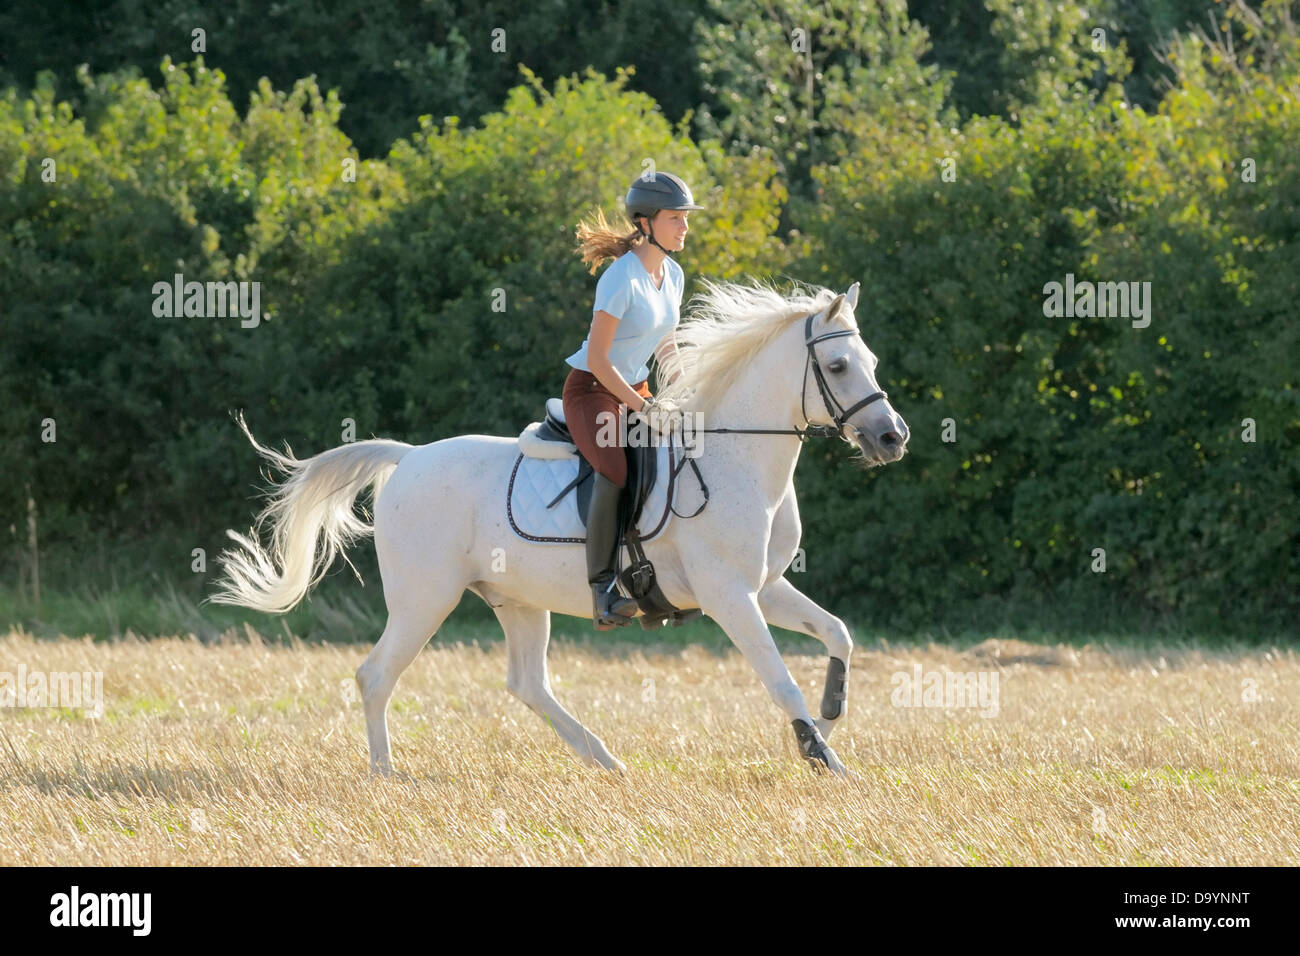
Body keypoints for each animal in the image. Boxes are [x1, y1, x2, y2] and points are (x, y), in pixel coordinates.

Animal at [209, 278, 910, 778]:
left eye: (871, 359)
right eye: (839, 366)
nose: (891, 438)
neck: (731, 455)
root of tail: (407, 458)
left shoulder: (763, 587)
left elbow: (838, 633)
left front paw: (829, 720)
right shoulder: (729, 595)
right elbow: (780, 679)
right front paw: (823, 757)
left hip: (518, 600)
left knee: (527, 683)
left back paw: (604, 758)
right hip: (425, 599)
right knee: (376, 676)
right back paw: (386, 775)